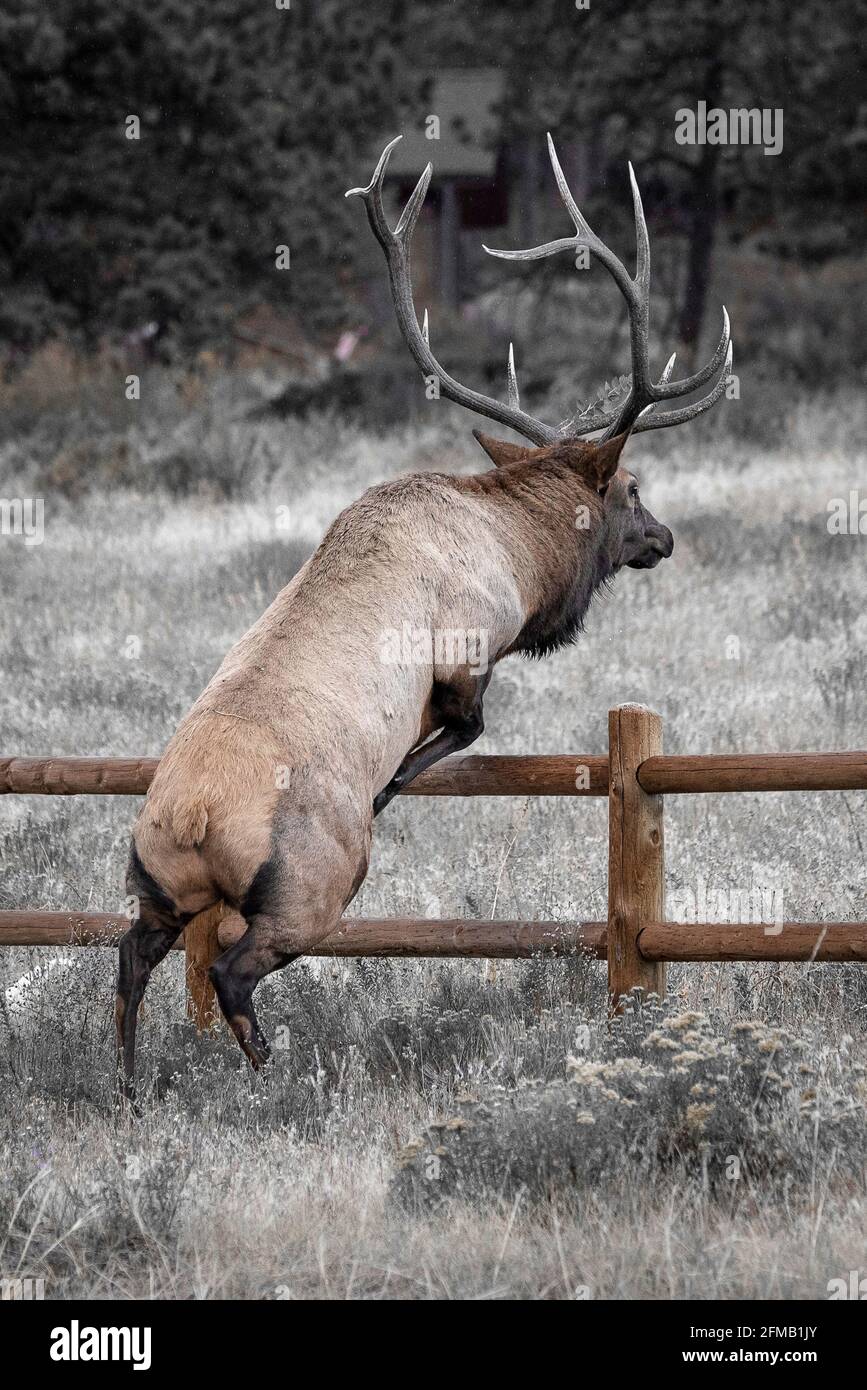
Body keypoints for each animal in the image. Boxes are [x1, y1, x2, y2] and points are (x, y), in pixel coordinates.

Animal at [116, 134, 732, 1101]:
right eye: (633, 488)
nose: (663, 538)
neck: (518, 560)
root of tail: (191, 822)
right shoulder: (468, 650)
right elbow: (458, 735)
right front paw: (392, 780)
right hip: (317, 883)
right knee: (229, 970)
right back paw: (277, 1077)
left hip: (155, 885)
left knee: (130, 957)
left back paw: (132, 1085)